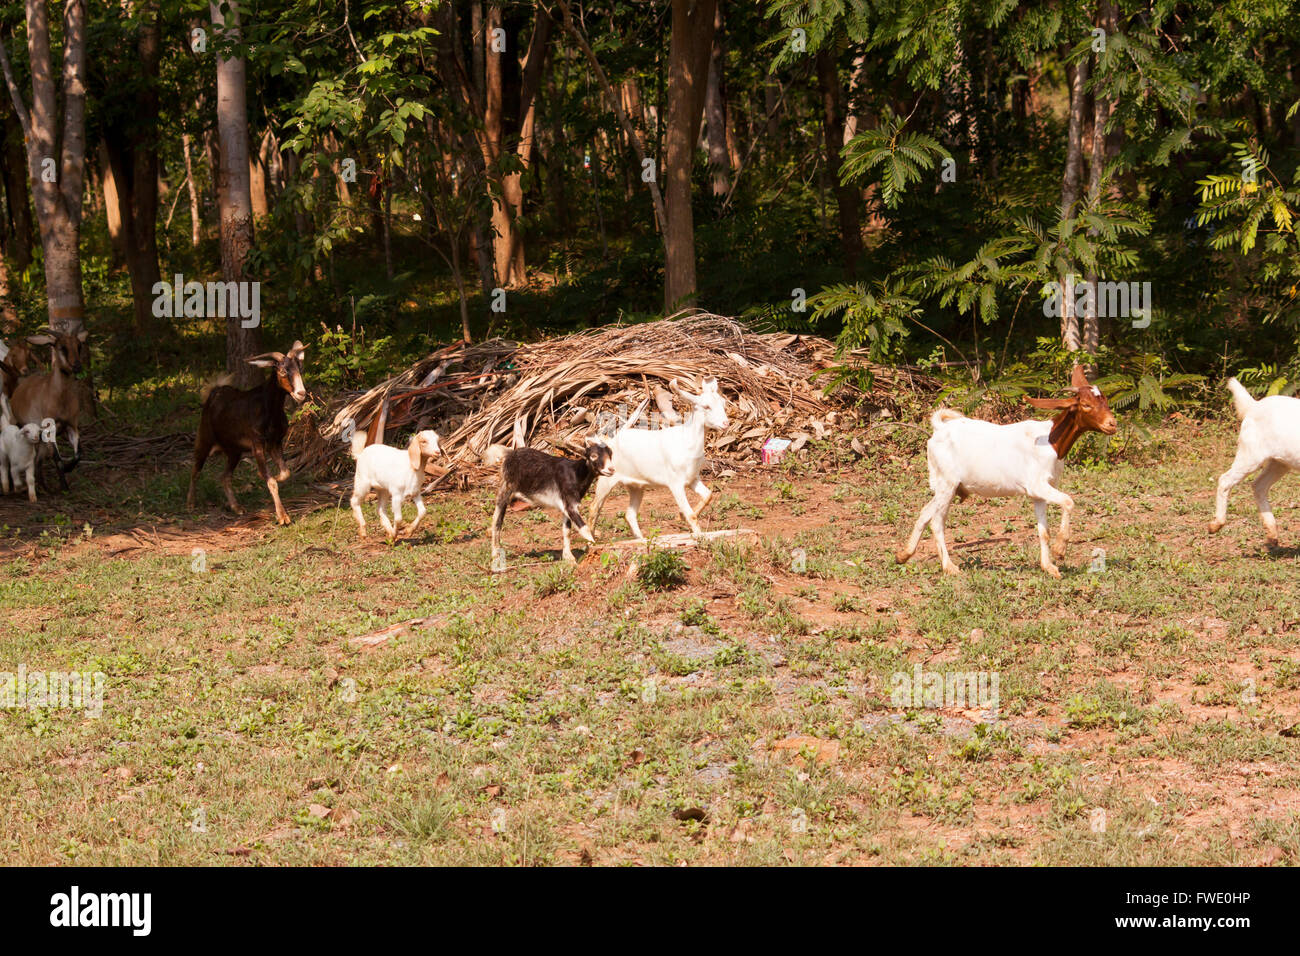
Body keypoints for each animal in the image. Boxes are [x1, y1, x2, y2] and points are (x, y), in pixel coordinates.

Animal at [10, 328, 88, 481]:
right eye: (62, 347)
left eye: (79, 346)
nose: (77, 366)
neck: (60, 397)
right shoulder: (49, 428)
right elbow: (58, 460)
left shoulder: (72, 424)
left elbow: (78, 454)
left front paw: (69, 467)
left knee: (38, 461)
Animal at [186, 341, 307, 525]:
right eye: (282, 371)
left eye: (300, 368)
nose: (301, 394)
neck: (269, 409)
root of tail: (214, 392)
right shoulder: (257, 444)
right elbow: (272, 481)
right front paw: (282, 516)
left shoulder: (275, 443)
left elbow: (284, 473)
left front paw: (266, 475)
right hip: (204, 439)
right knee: (196, 469)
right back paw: (191, 503)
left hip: (234, 452)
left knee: (224, 476)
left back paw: (236, 507)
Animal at [589, 377, 729, 539]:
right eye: (706, 406)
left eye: (723, 403)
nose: (726, 423)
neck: (687, 441)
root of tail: (612, 441)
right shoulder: (675, 483)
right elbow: (691, 515)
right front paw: (699, 537)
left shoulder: (693, 479)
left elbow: (708, 496)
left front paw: (680, 516)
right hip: (606, 479)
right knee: (594, 507)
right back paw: (591, 540)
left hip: (636, 486)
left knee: (629, 514)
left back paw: (641, 540)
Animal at [897, 364, 1118, 577]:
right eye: (1086, 404)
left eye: (1105, 400)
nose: (1112, 424)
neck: (1051, 441)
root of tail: (939, 429)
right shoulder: (1037, 484)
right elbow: (1069, 501)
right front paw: (1060, 549)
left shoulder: (1039, 493)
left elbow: (1043, 531)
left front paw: (1049, 567)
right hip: (947, 483)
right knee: (937, 521)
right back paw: (949, 567)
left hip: (945, 485)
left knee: (926, 512)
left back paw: (903, 555)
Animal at [1209, 377, 1300, 545]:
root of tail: (1254, 406)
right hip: (1251, 456)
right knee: (1225, 479)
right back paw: (1215, 525)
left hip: (1279, 463)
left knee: (1259, 485)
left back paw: (1272, 534)